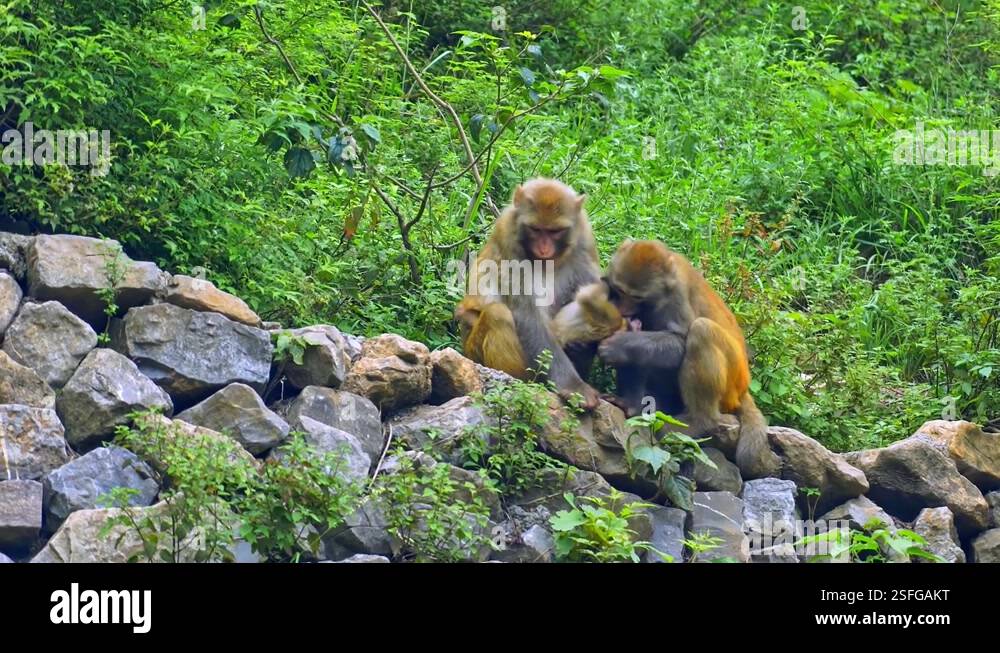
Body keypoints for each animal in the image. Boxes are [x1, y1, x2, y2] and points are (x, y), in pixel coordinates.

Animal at [454, 178, 603, 409]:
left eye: (555, 231)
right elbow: (528, 316)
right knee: (497, 313)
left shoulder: (584, 239)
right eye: (535, 229)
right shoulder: (507, 239)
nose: (544, 249)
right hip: (473, 351)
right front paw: (573, 386)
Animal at [598, 239, 781, 479]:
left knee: (701, 331)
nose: (624, 308)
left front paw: (618, 345)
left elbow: (679, 342)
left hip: (730, 381)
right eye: (620, 291)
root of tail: (743, 388)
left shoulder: (676, 296)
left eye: (636, 297)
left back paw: (699, 421)